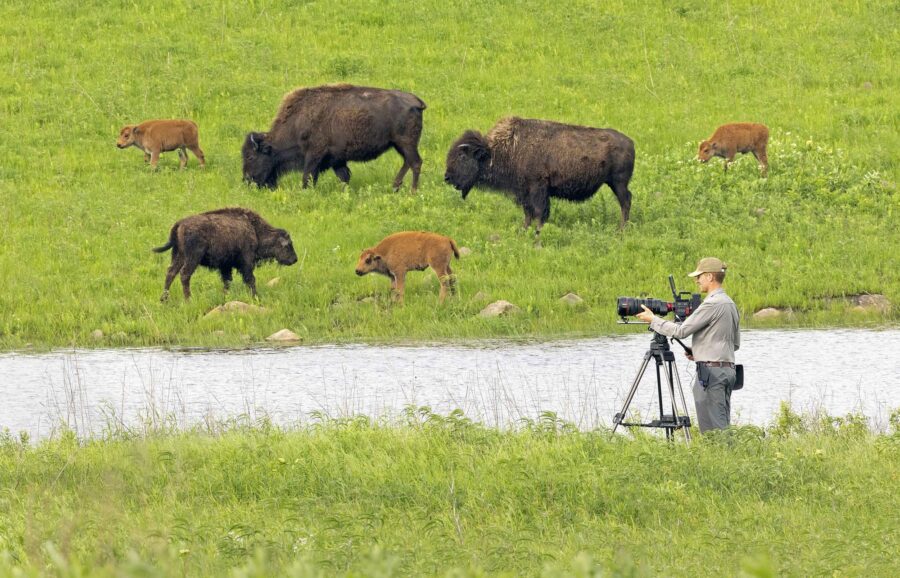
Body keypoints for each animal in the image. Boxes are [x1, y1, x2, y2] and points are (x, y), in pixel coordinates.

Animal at [153, 207, 297, 301]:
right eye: (288, 245)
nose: (295, 259)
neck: (254, 230)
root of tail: (180, 223)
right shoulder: (246, 262)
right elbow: (250, 279)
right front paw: (255, 296)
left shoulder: (225, 266)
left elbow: (227, 281)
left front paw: (225, 296)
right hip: (192, 258)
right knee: (184, 274)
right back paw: (188, 299)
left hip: (178, 255)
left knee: (171, 272)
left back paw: (164, 299)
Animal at [242, 84, 426, 191]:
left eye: (251, 157)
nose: (246, 181)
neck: (297, 122)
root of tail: (416, 101)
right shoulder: (337, 159)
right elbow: (344, 176)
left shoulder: (313, 155)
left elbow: (307, 177)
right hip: (399, 144)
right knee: (408, 162)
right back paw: (395, 187)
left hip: (406, 143)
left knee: (415, 163)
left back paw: (412, 191)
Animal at [445, 116, 635, 239]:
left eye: (462, 156)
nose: (447, 177)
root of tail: (630, 142)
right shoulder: (524, 192)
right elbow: (528, 212)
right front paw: (524, 231)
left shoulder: (538, 188)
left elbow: (539, 212)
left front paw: (537, 234)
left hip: (618, 183)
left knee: (625, 202)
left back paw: (621, 230)